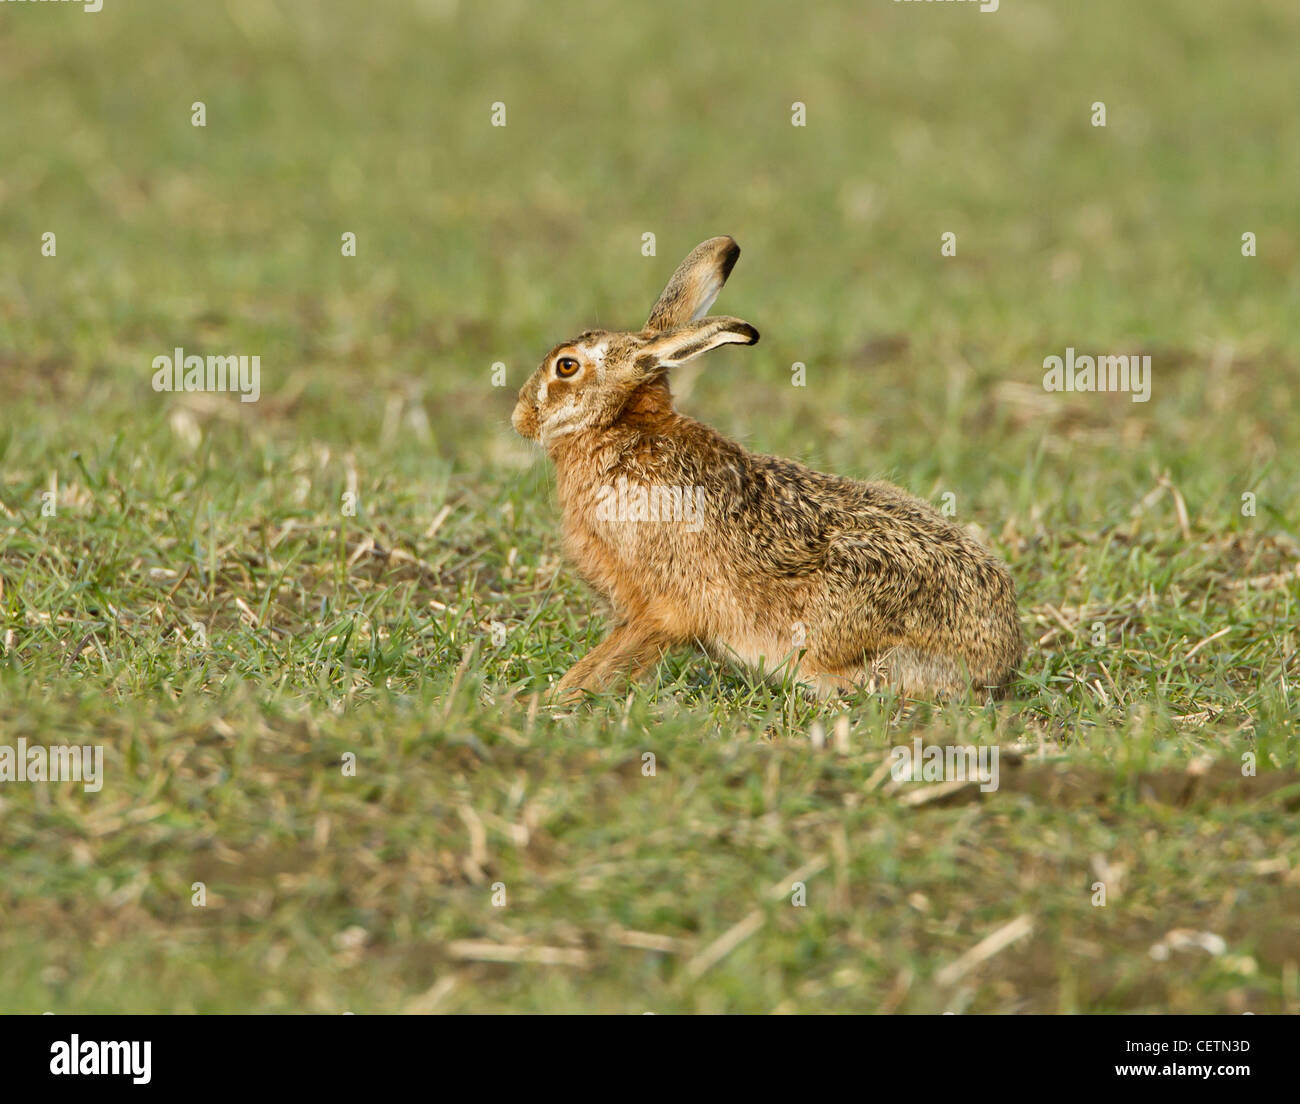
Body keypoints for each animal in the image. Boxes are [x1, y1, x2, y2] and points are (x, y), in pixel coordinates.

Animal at [511, 236, 1022, 704]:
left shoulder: (659, 605)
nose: (519, 418)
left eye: (566, 367)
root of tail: (1001, 658)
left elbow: (620, 653)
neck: (622, 429)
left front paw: (561, 695)